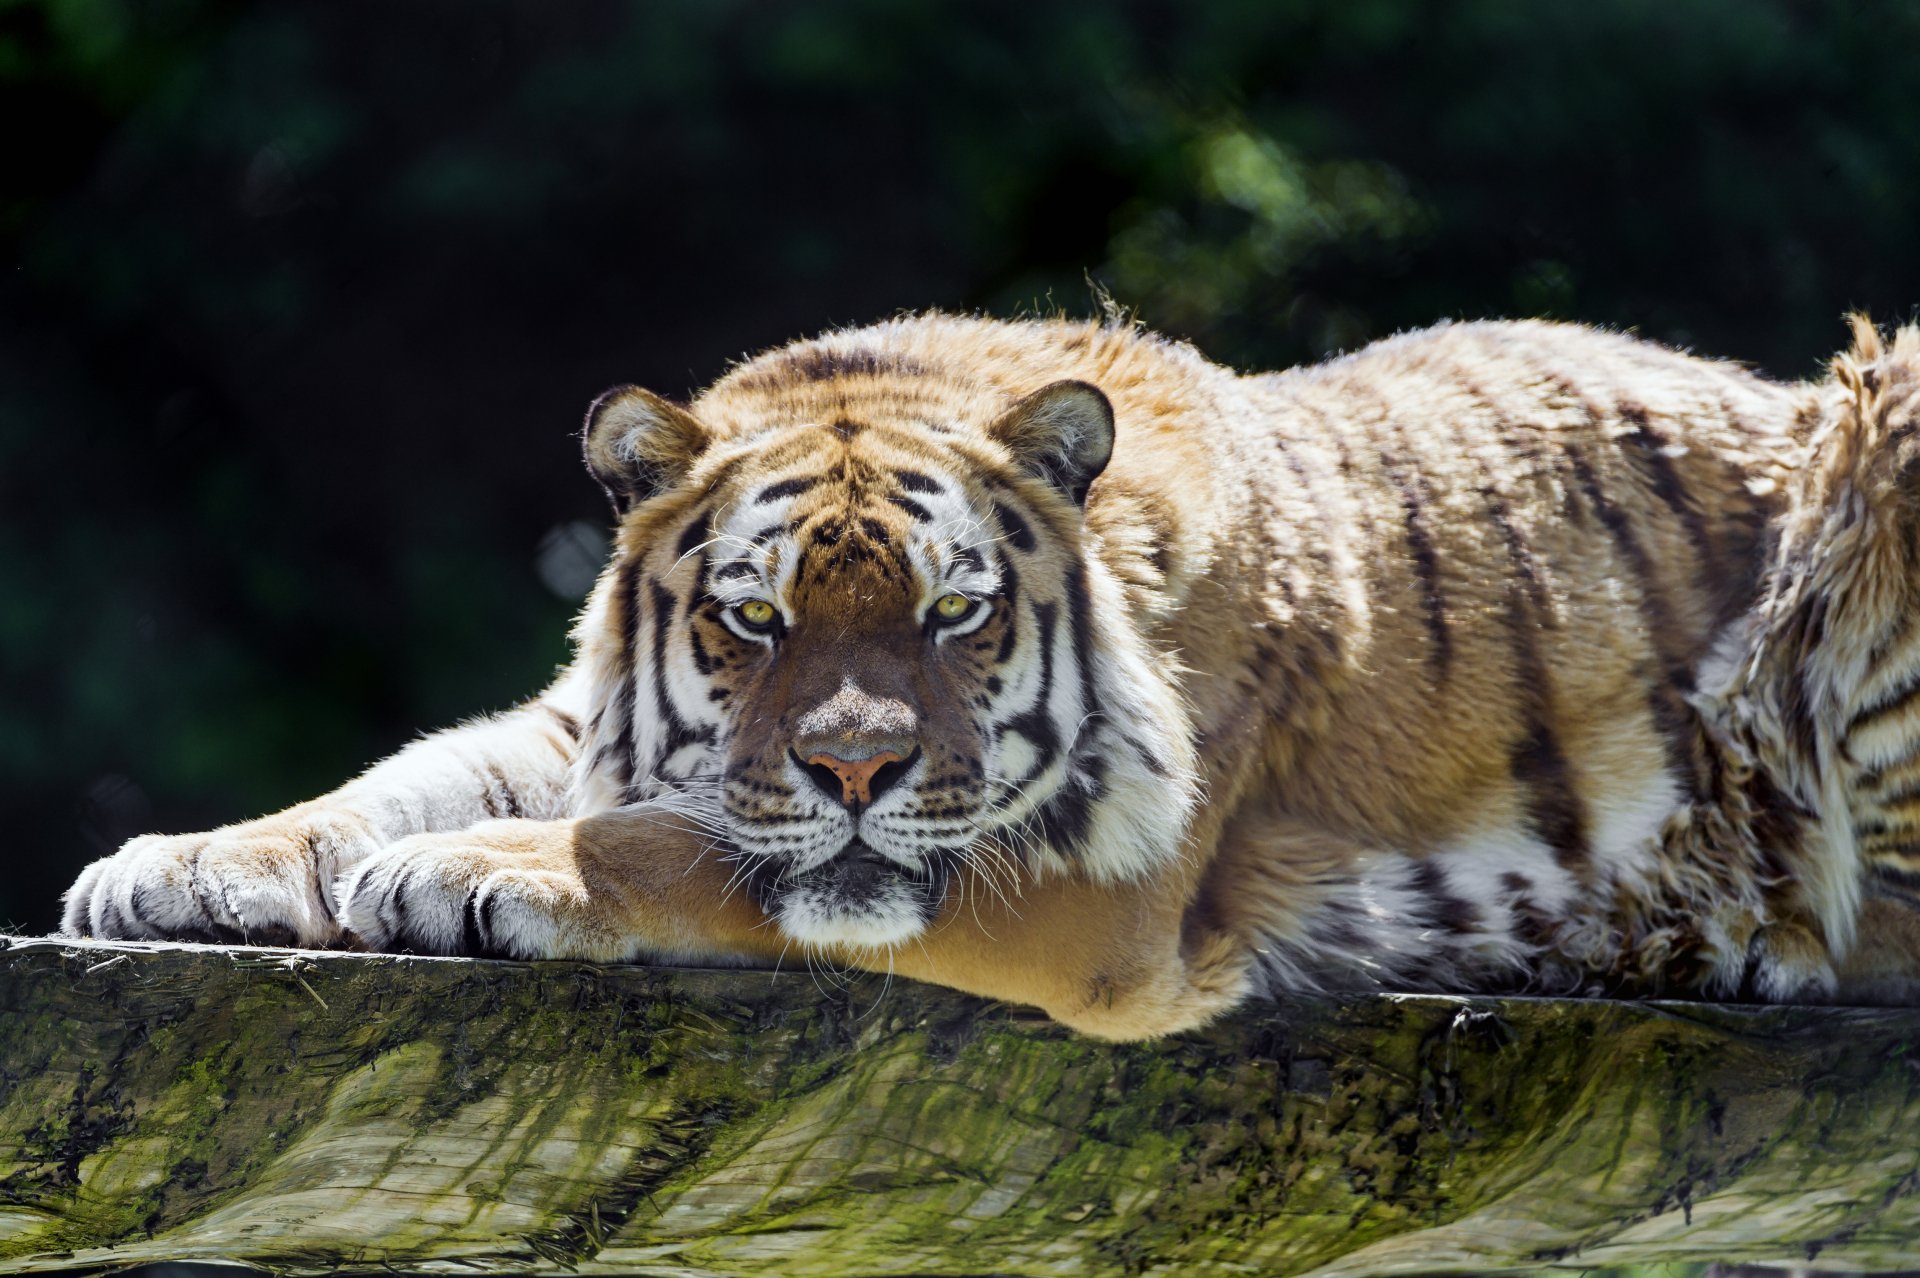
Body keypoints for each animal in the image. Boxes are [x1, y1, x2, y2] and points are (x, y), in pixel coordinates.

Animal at [59, 311, 1920, 1039]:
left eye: (955, 615)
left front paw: (464, 870)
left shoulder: (1102, 888)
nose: (857, 769)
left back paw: (1751, 928)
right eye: (754, 620)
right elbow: (408, 772)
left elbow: (689, 849)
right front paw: (175, 862)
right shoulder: (596, 720)